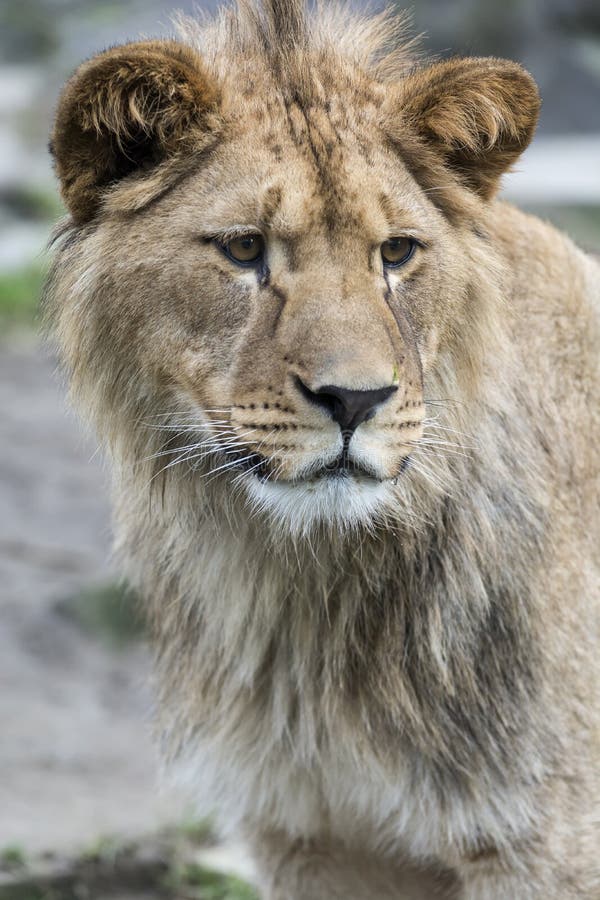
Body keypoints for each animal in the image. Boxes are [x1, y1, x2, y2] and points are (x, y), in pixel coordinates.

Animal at [46, 0, 599, 897]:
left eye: (397, 252)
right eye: (244, 249)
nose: (355, 399)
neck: (310, 591)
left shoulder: (544, 842)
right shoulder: (313, 837)